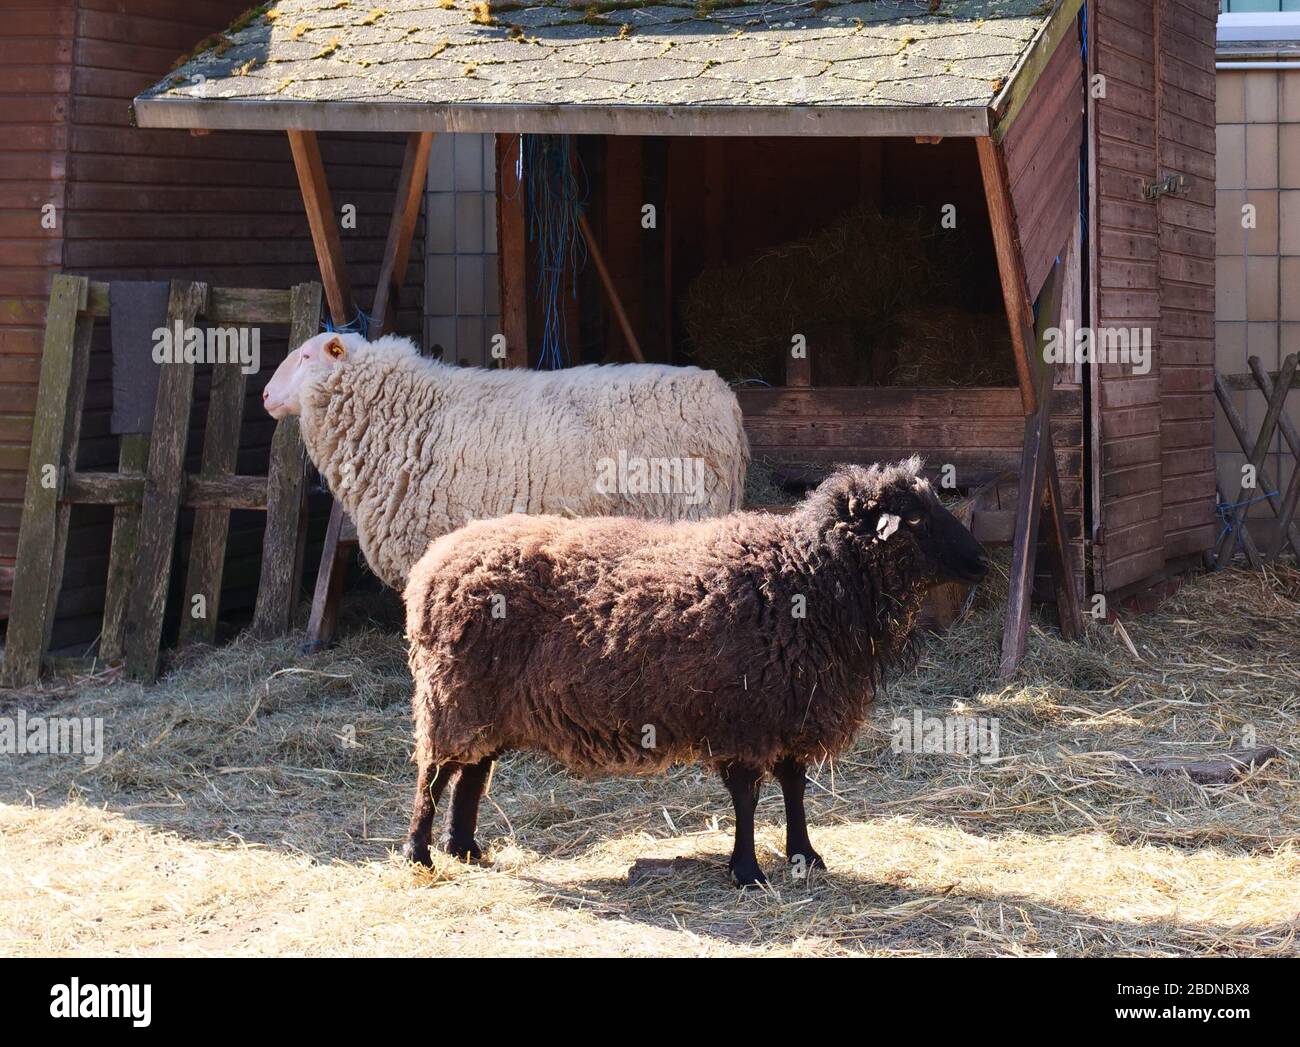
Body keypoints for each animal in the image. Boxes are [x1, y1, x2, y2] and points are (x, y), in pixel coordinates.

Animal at [401, 457, 989, 886]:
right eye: (916, 519)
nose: (982, 562)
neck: (807, 577)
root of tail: (435, 561)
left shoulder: (790, 709)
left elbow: (795, 787)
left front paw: (804, 855)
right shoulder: (744, 716)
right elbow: (748, 797)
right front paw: (747, 870)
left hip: (486, 704)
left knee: (472, 773)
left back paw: (465, 849)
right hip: (451, 694)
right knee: (434, 772)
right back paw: (419, 855)